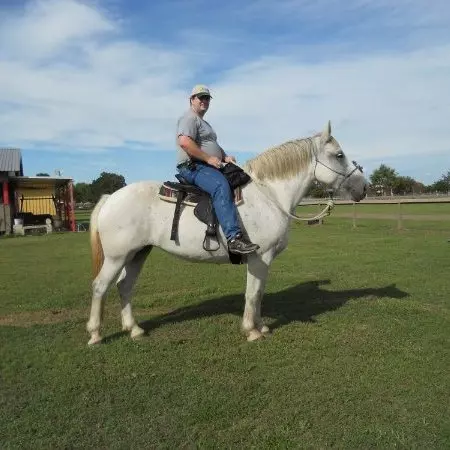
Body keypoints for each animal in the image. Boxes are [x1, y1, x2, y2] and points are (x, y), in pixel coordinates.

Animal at [88, 120, 370, 344]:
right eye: (339, 155)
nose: (364, 187)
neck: (269, 195)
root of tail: (111, 198)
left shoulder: (264, 260)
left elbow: (259, 292)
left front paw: (261, 326)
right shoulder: (259, 256)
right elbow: (253, 293)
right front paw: (251, 331)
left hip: (137, 253)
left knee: (125, 286)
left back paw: (134, 329)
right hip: (116, 257)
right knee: (101, 286)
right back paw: (95, 334)